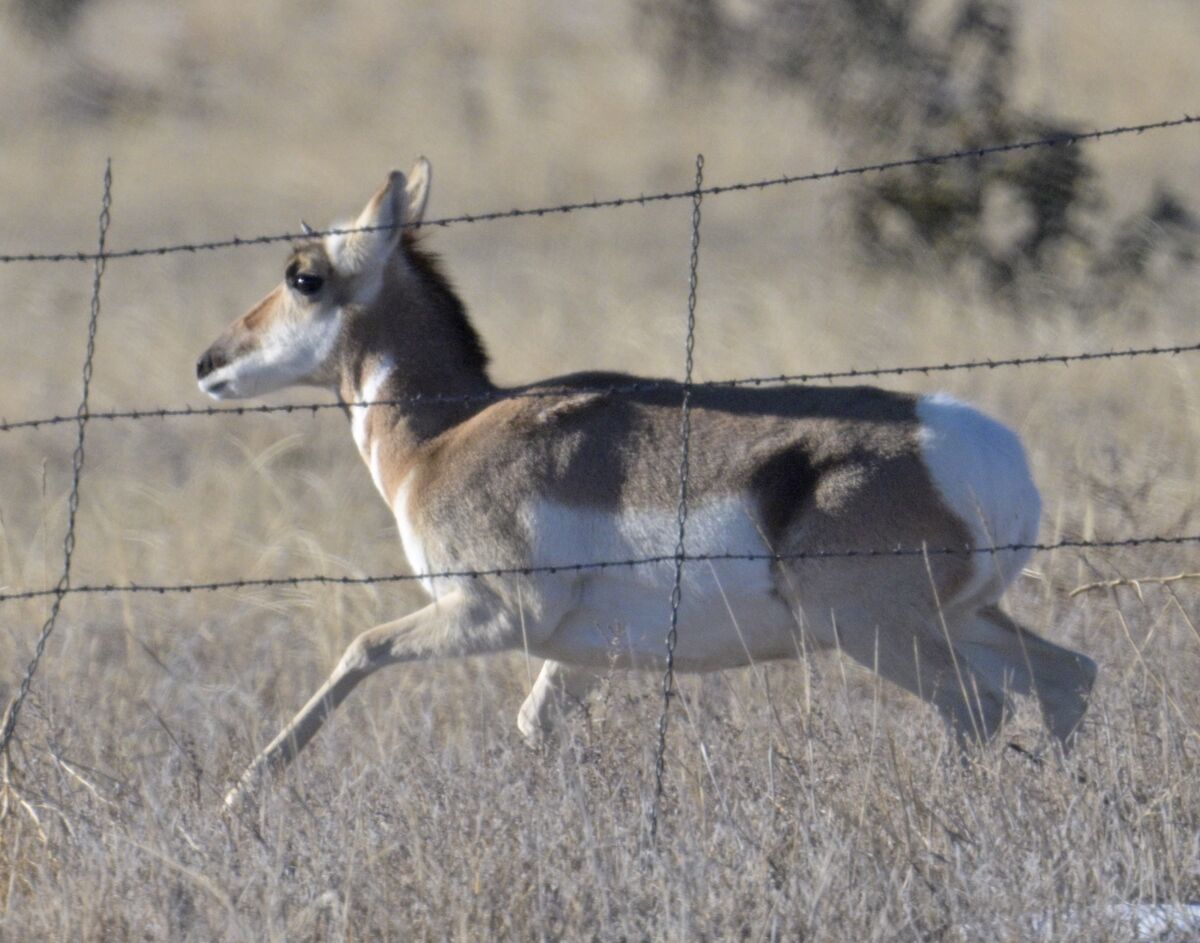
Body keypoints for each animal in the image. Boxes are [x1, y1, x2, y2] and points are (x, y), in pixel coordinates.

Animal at [198, 159, 1096, 807]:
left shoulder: (490, 613)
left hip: (878, 631)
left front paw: (241, 792)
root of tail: (981, 448)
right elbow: (534, 725)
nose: (209, 362)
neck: (445, 434)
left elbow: (362, 647)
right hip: (962, 618)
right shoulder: (574, 658)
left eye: (304, 274)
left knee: (978, 706)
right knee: (1067, 677)